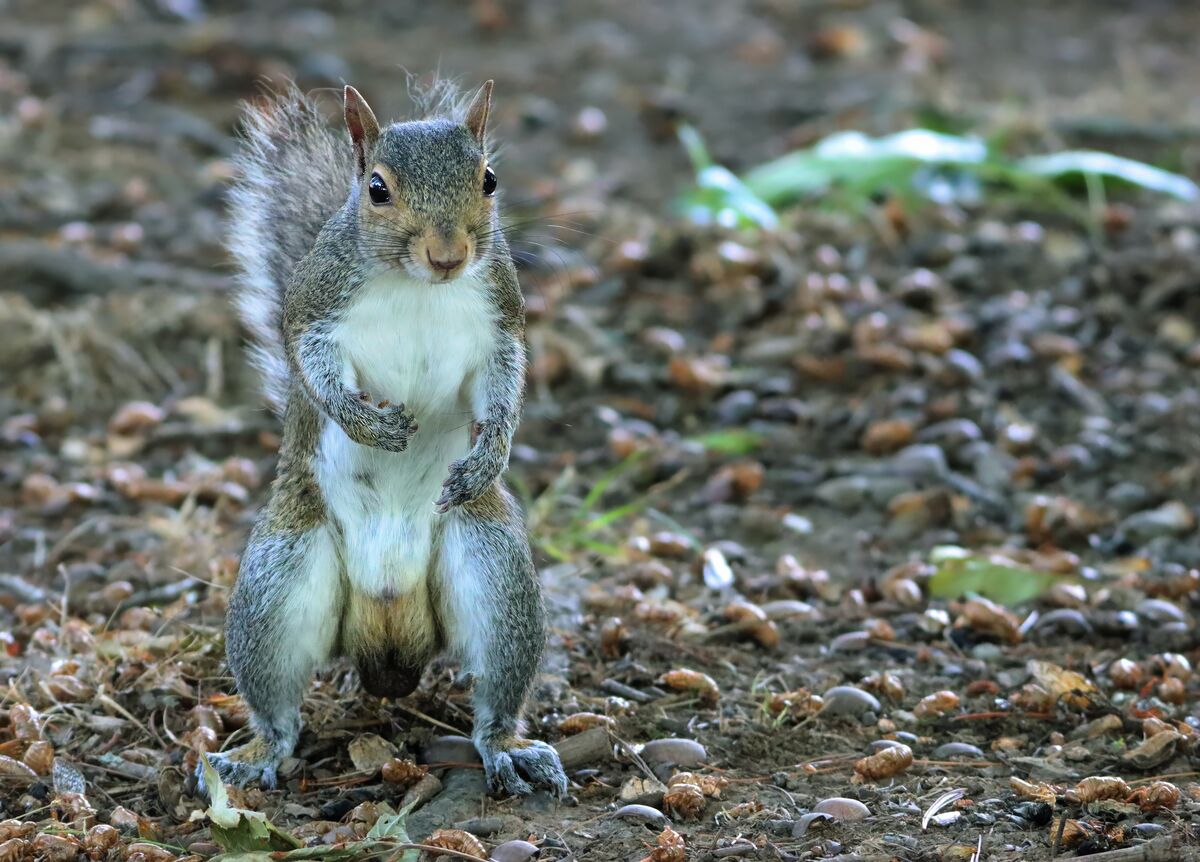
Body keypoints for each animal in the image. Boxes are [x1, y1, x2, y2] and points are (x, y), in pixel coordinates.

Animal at [196, 79, 568, 799]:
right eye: (376, 189)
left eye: (488, 179)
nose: (448, 256)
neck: (417, 285)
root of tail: (388, 638)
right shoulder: (313, 309)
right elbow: (313, 367)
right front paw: (368, 422)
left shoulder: (502, 320)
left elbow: (506, 385)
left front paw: (491, 454)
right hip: (275, 588)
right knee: (276, 705)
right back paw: (256, 755)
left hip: (495, 573)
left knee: (498, 691)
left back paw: (509, 749)